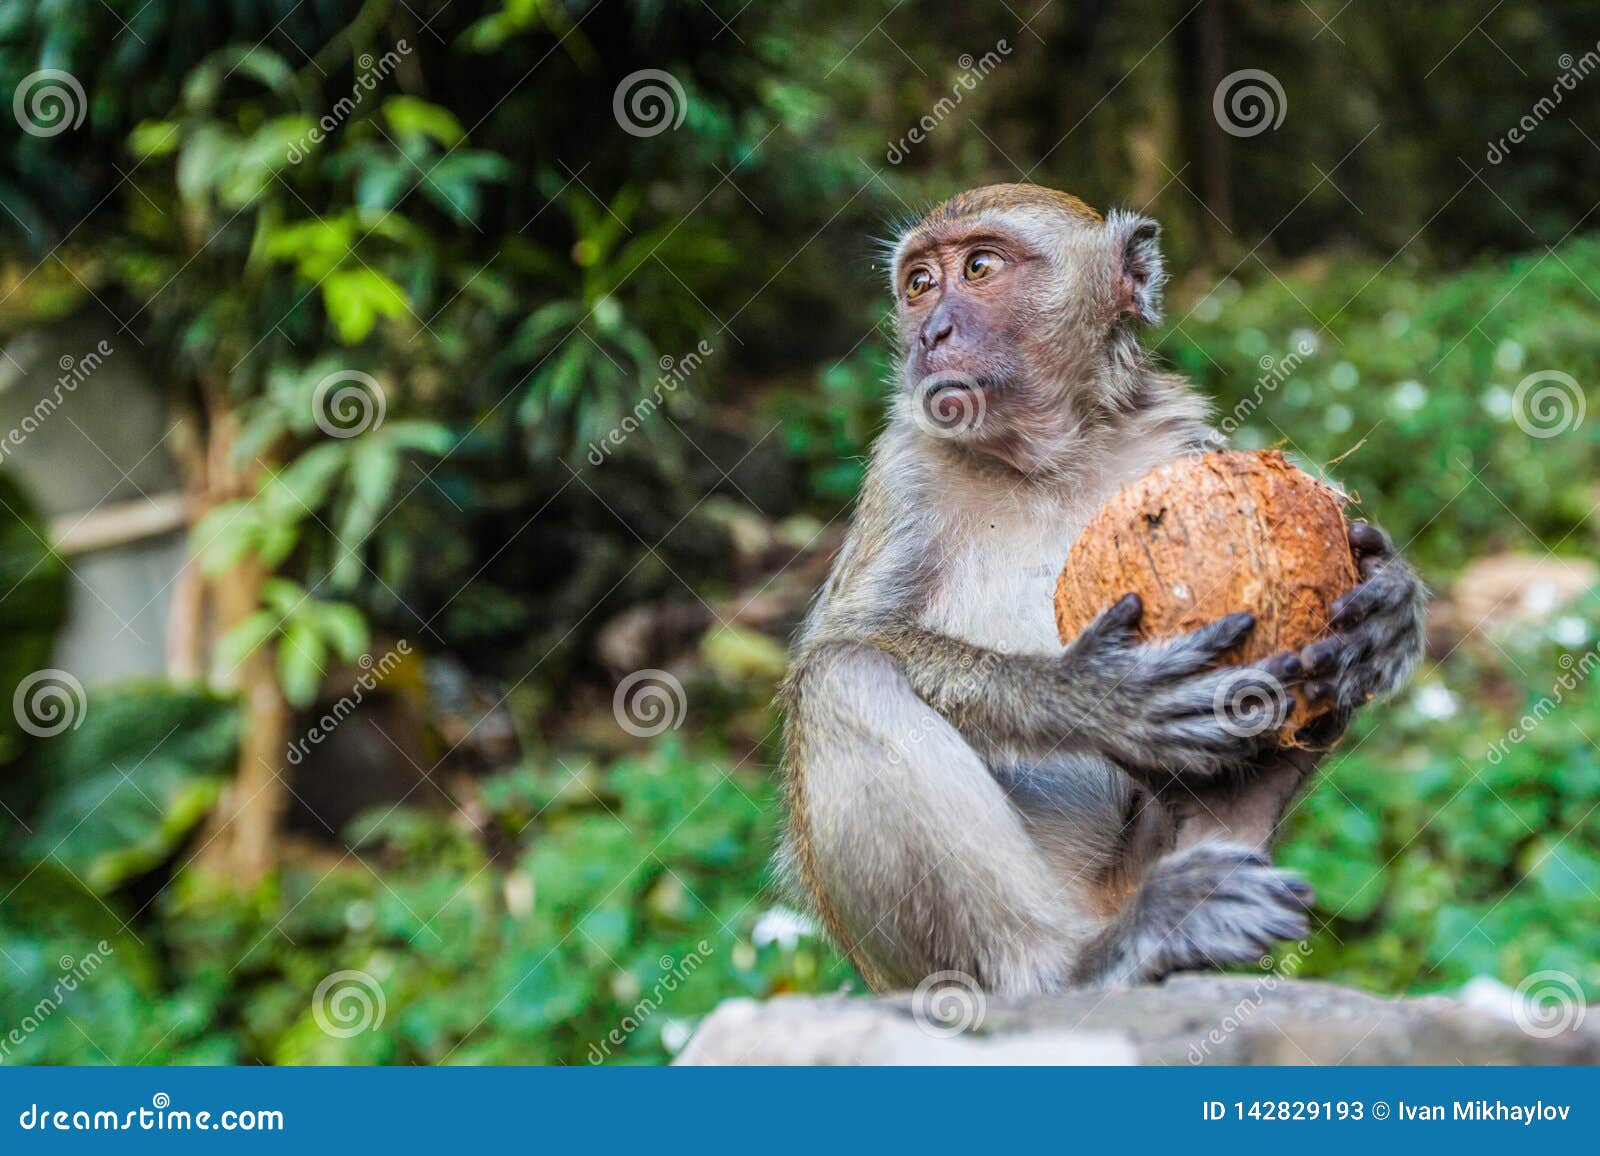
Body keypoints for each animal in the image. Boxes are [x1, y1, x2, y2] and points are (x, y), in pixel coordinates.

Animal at [778, 184, 1426, 994]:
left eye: (980, 267)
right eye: (919, 283)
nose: (930, 332)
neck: (1048, 457)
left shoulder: (1180, 440)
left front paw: (1390, 602)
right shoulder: (905, 466)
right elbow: (848, 637)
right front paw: (1094, 695)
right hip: (919, 967)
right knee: (844, 678)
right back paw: (1092, 958)